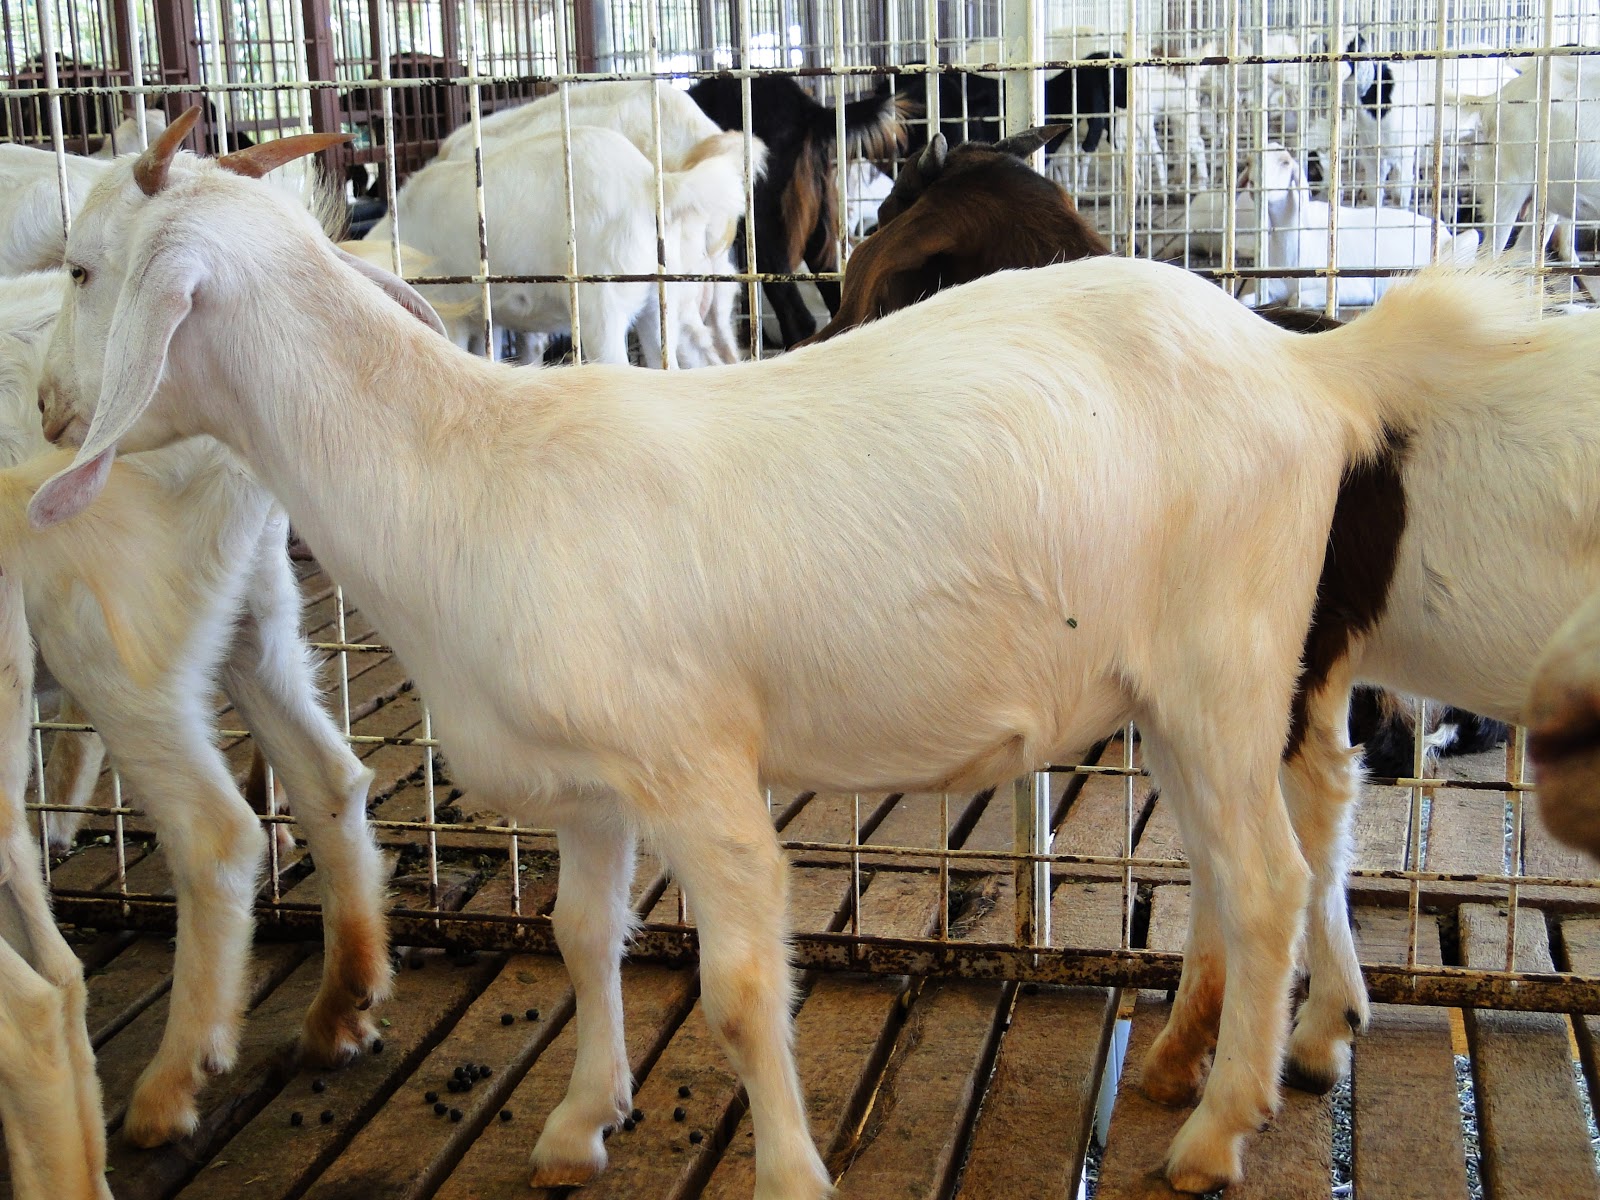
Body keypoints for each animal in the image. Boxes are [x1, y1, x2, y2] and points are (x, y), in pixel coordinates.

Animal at [1246, 143, 1479, 308]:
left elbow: (1297, 299)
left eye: (1285, 162)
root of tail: (1444, 230)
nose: (1252, 183)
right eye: (1249, 162)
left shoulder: (1353, 287)